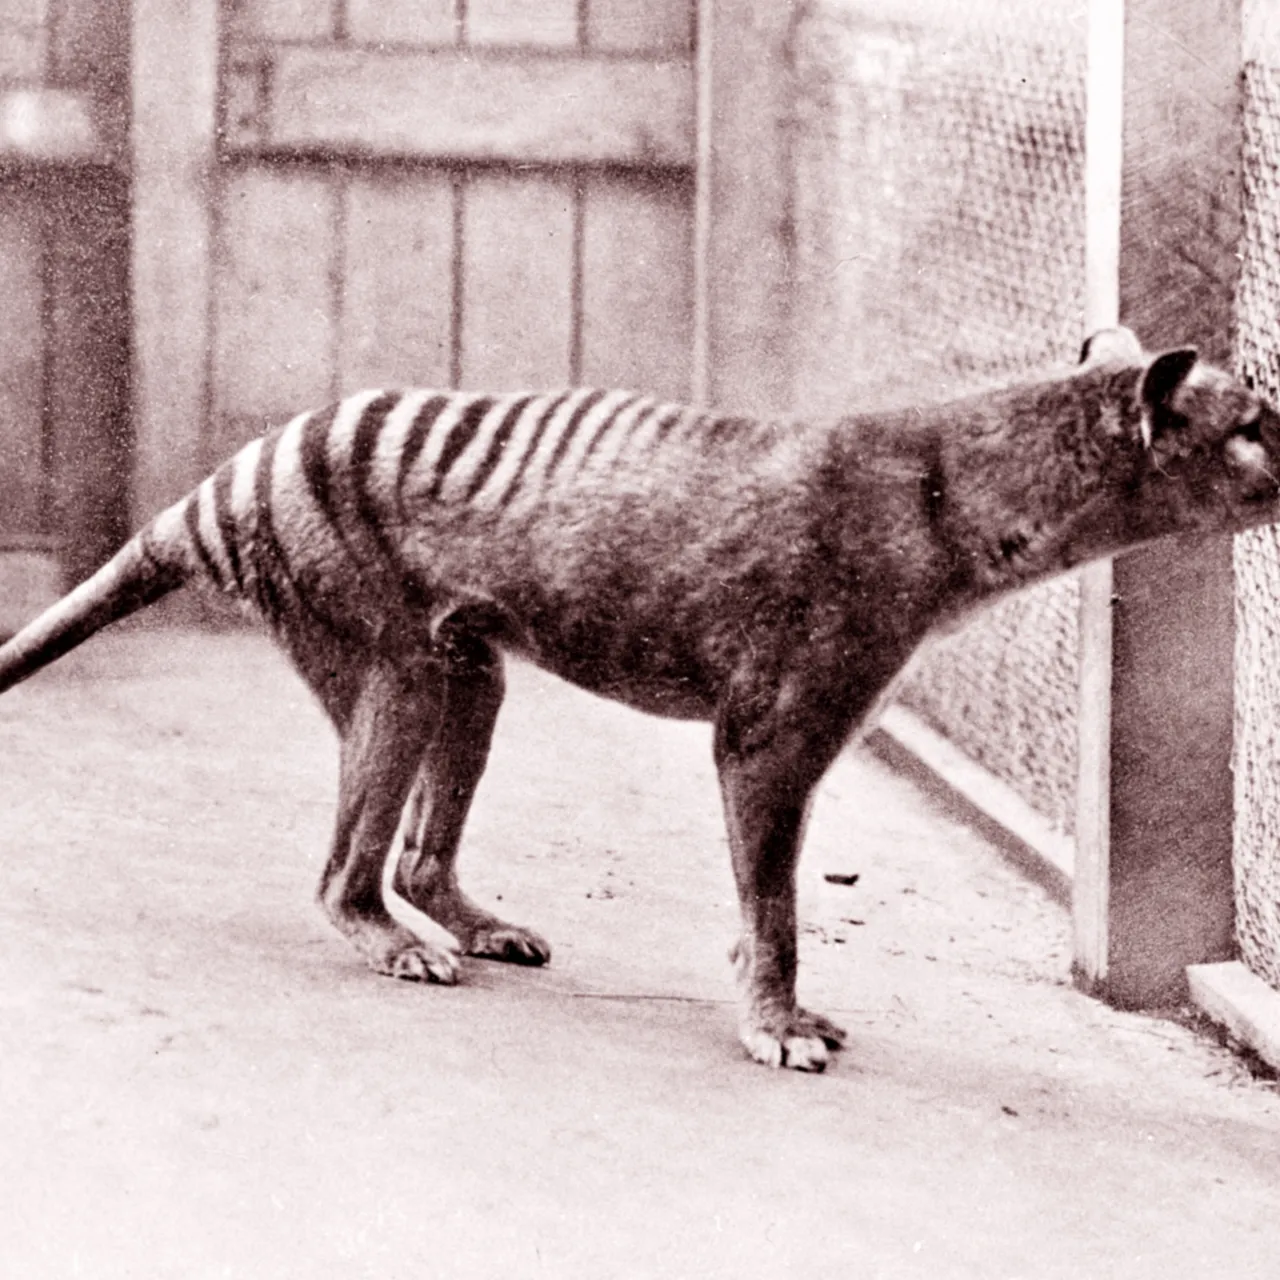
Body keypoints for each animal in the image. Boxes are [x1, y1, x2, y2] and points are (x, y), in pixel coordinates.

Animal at [1, 325, 1277, 1072]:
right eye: (1253, 424)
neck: (948, 491)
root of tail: (221, 483)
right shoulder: (772, 729)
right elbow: (775, 906)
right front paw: (774, 1021)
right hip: (391, 662)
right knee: (343, 872)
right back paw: (393, 940)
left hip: (466, 667)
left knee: (419, 844)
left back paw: (469, 918)